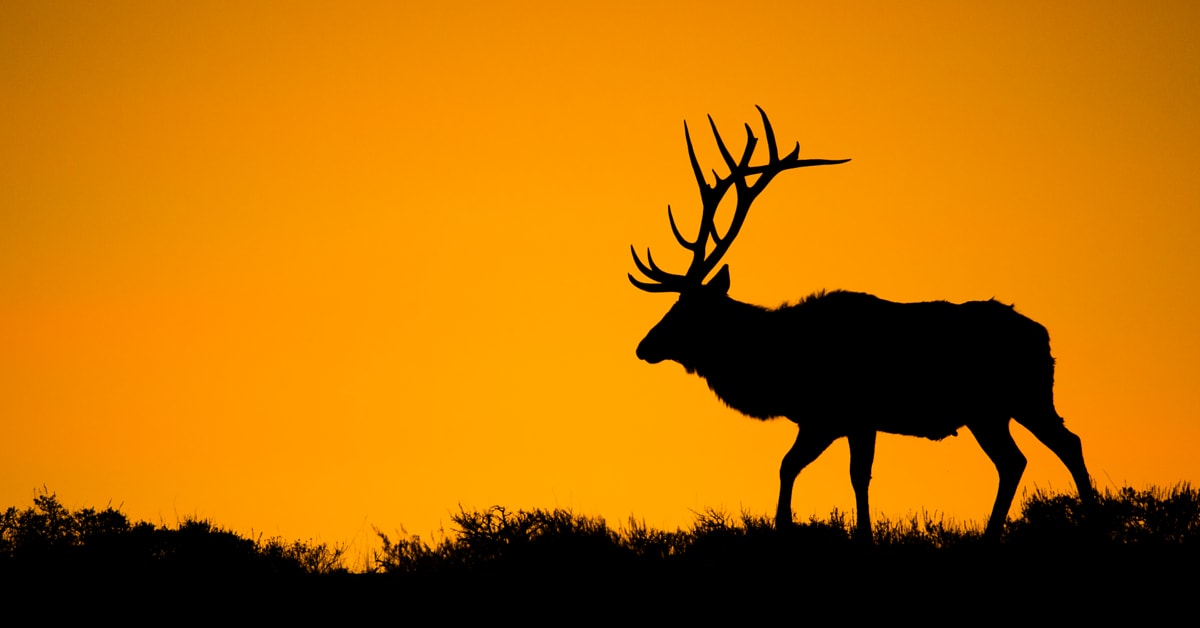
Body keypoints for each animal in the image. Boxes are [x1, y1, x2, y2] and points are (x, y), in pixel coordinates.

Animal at [629, 106, 1094, 540]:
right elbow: (800, 467)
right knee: (1021, 458)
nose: (644, 346)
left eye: (688, 310)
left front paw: (840, 533)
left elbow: (836, 473)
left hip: (1020, 399)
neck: (778, 367)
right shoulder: (828, 420)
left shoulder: (844, 415)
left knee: (1060, 446)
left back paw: (1084, 521)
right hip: (995, 411)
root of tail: (1043, 337)